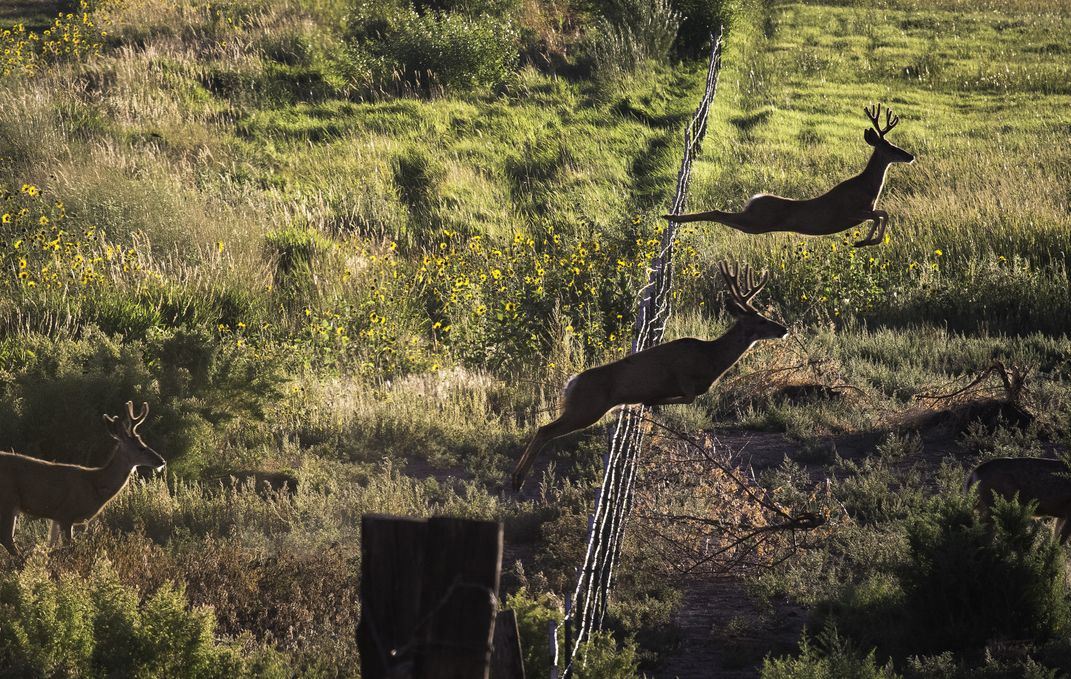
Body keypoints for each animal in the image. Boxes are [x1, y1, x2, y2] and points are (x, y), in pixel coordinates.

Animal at [0, 401, 165, 557]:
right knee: (7, 539)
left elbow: (50, 544)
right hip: (8, 500)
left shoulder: (56, 517)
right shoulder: (66, 513)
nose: (161, 461)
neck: (96, 484)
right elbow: (68, 546)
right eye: (141, 447)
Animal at [511, 261, 787, 491]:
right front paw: (650, 400)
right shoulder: (683, 374)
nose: (783, 329)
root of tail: (572, 382)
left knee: (543, 429)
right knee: (545, 430)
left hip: (581, 409)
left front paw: (649, 402)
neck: (711, 358)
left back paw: (517, 478)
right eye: (762, 321)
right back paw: (518, 480)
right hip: (586, 408)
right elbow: (689, 396)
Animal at [664, 103, 915, 247]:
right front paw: (865, 241)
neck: (869, 187)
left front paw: (867, 241)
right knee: (718, 213)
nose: (910, 155)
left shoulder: (863, 211)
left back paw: (672, 217)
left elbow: (883, 214)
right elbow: (881, 214)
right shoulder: (851, 211)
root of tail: (755, 198)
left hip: (754, 222)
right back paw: (671, 216)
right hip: (755, 221)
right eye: (892, 147)